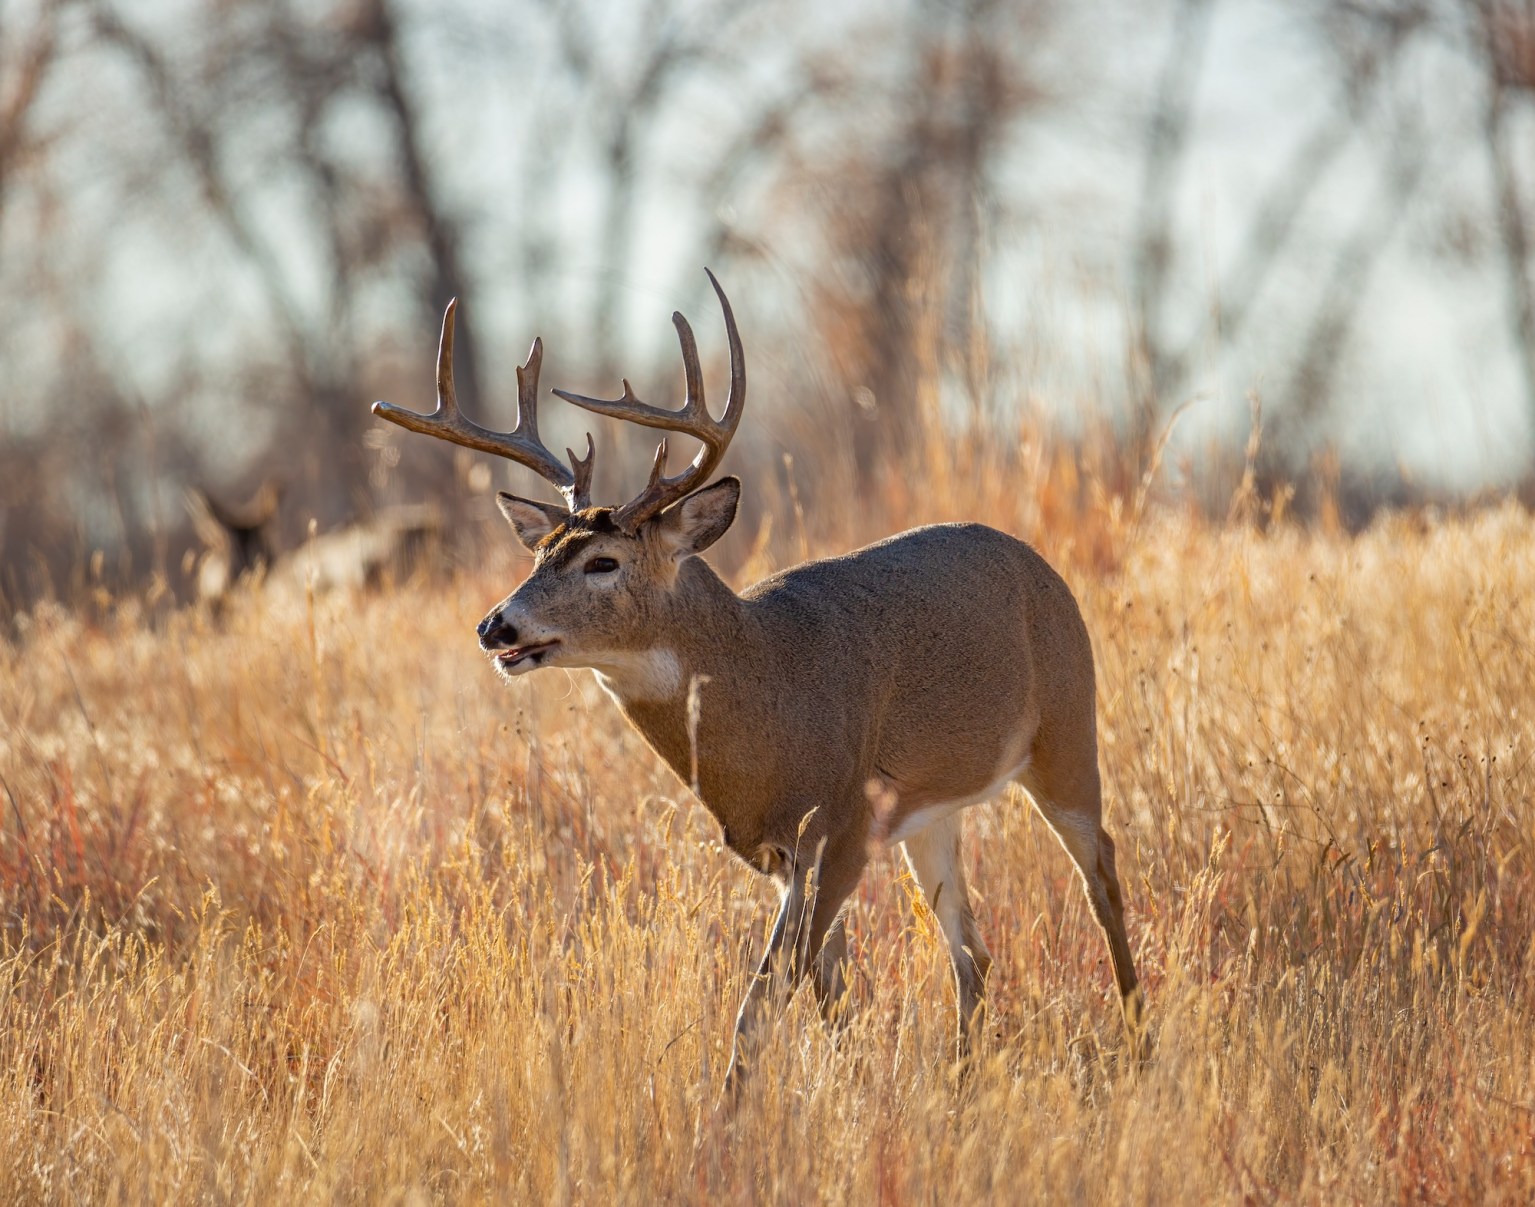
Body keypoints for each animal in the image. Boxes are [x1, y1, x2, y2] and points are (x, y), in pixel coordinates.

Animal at [372, 271, 1142, 1088]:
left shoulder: (838, 828)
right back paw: (964, 1081)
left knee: (1101, 876)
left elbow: (762, 1003)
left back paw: (1141, 1041)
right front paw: (854, 1087)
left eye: (603, 561)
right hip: (932, 811)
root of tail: (1042, 568)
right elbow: (828, 994)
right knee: (973, 952)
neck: (765, 694)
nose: (497, 626)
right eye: (542, 550)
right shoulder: (783, 856)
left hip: (1066, 732)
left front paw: (733, 1111)